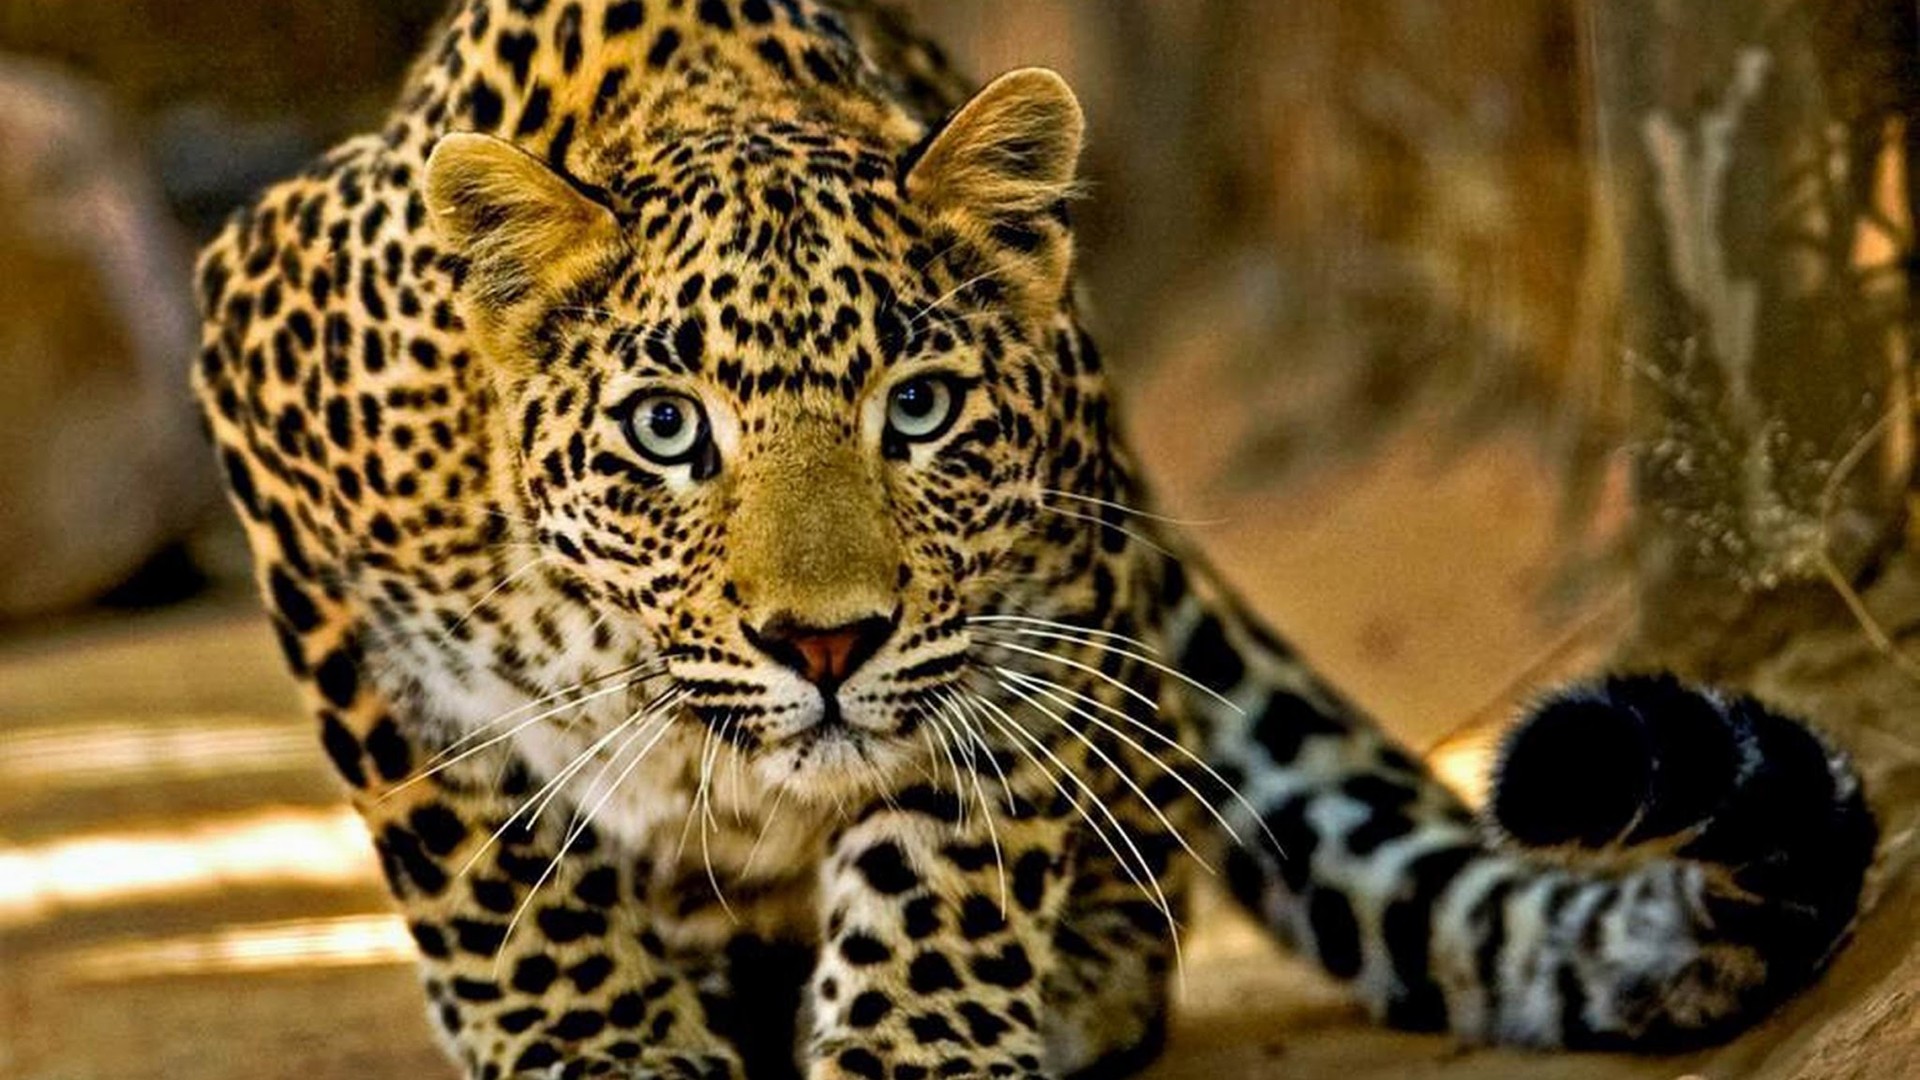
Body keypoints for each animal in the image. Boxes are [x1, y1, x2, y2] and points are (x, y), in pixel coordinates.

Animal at [191, 2, 1879, 1077]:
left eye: (923, 407)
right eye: (667, 429)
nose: (824, 644)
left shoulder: (1037, 600)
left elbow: (946, 863)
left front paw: (917, 1046)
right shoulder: (267, 400)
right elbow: (472, 846)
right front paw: (590, 1042)